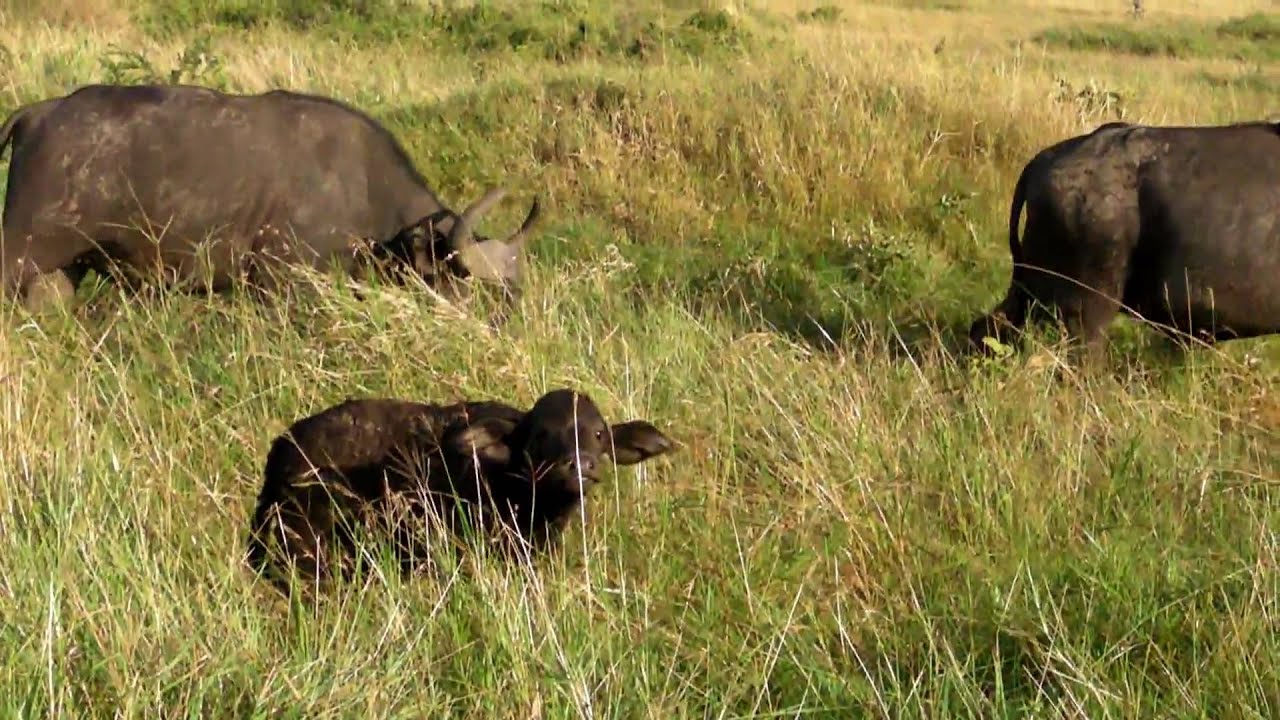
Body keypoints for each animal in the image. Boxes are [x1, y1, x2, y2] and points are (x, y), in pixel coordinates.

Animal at [0, 83, 540, 311]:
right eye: (482, 294)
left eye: (514, 296)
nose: (505, 333)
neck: (364, 189)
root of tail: (38, 113)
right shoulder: (285, 285)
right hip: (20, 254)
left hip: (59, 273)